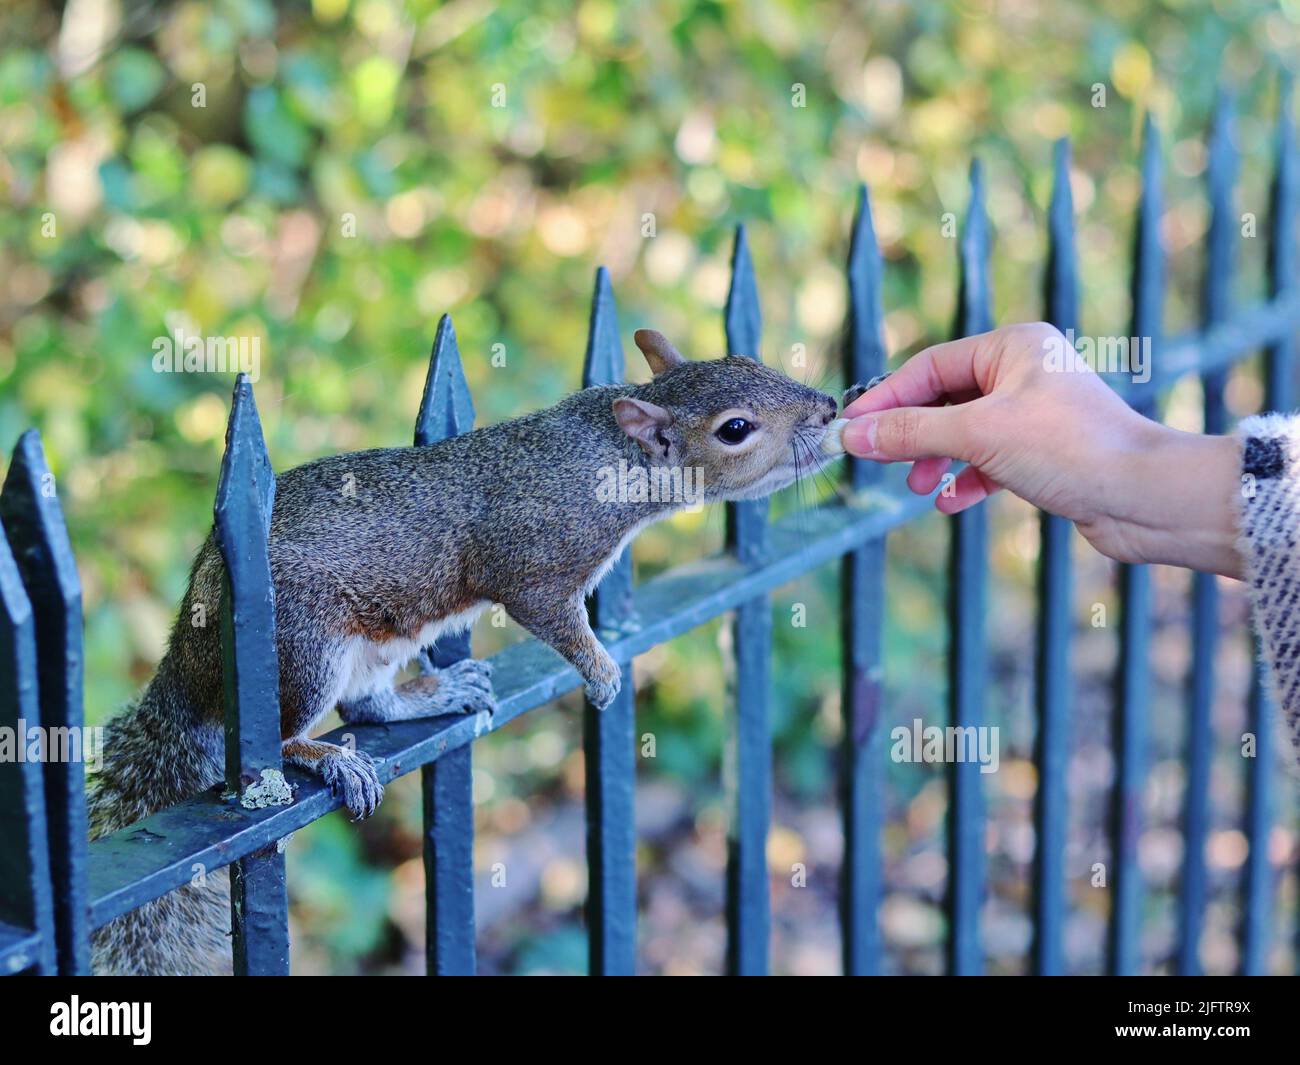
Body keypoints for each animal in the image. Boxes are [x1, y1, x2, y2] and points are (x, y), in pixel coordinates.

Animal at [88, 329, 855, 974]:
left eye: (749, 359)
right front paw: (602, 672)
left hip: (372, 647)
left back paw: (437, 693)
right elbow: (552, 618)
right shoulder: (536, 565)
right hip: (303, 646)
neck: (613, 455)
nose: (826, 408)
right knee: (282, 737)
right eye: (735, 429)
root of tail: (184, 662)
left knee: (368, 707)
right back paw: (326, 756)